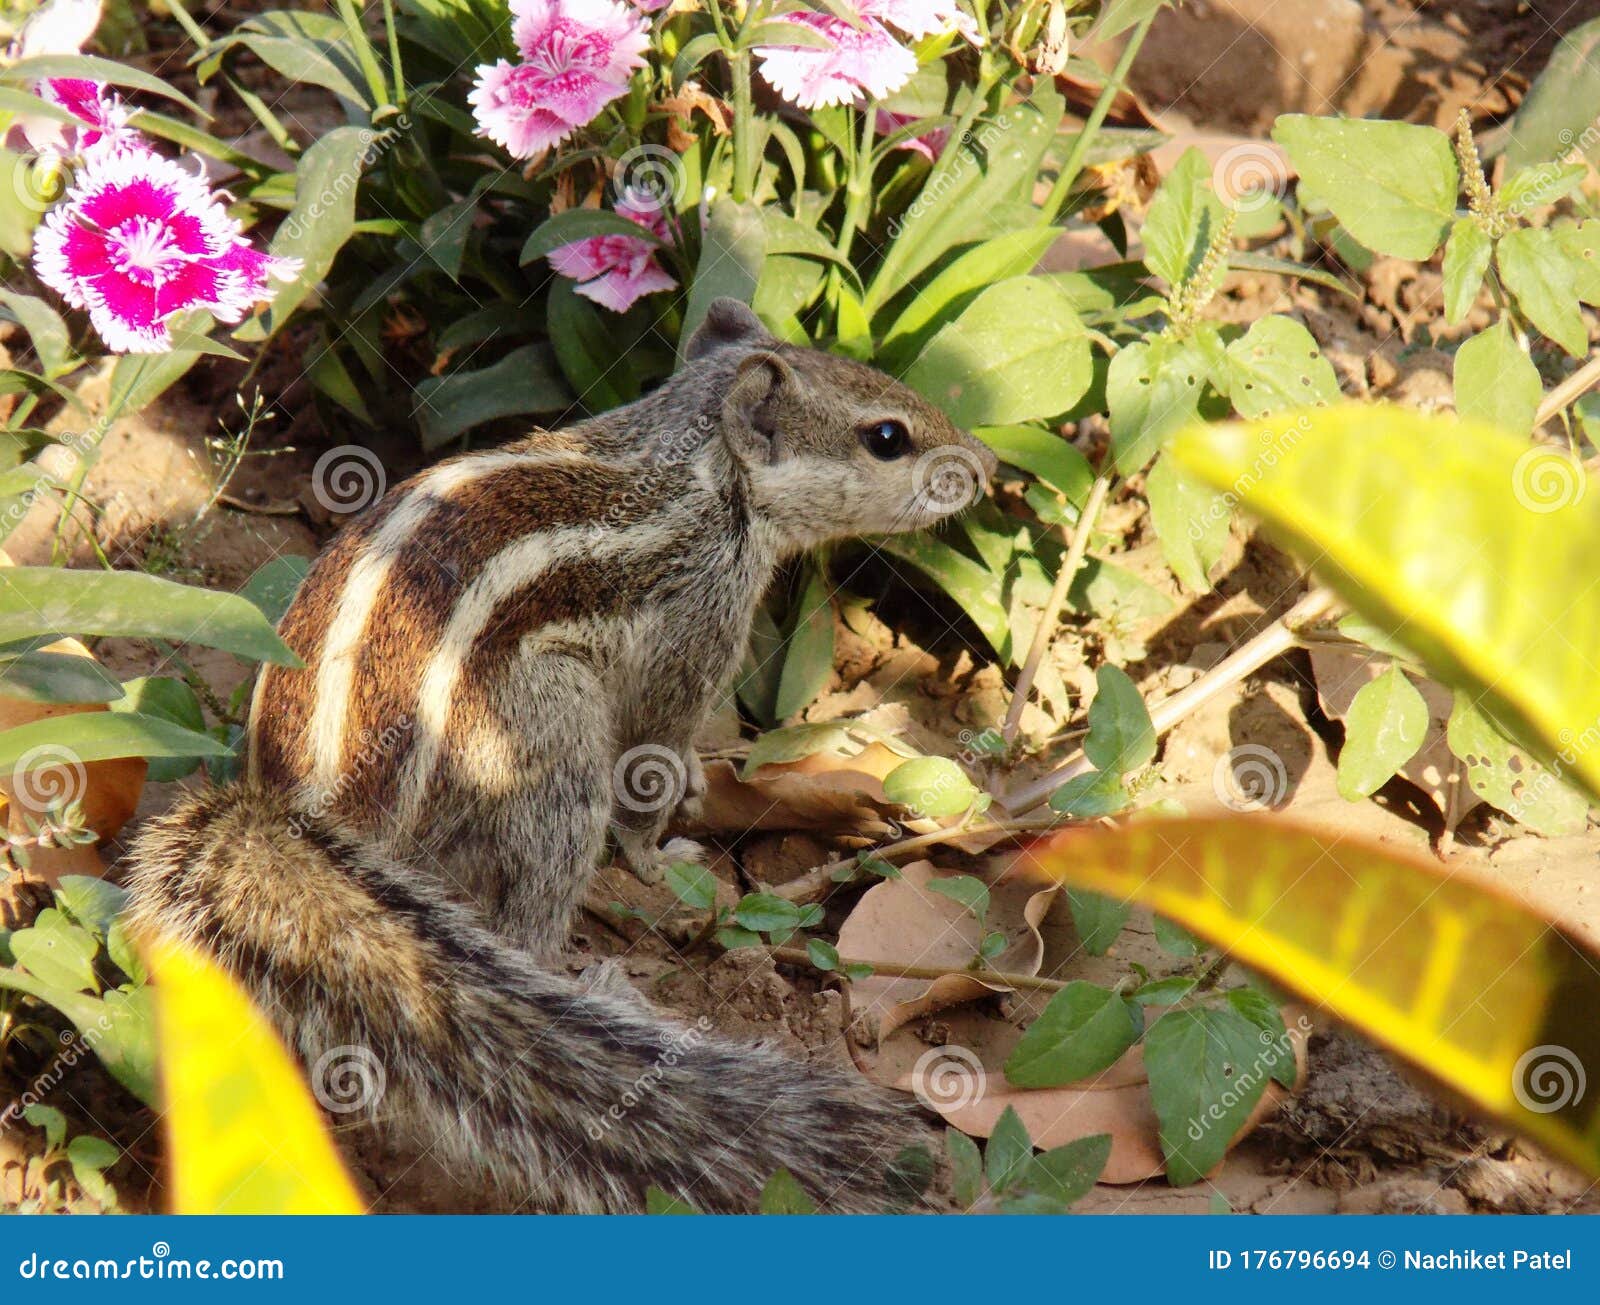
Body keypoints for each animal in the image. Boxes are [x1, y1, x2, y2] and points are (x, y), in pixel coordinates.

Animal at [123, 299, 1000, 1213]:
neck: (695, 461)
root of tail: (295, 818)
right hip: (545, 734)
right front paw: (658, 858)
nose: (987, 465)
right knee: (531, 908)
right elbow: (654, 752)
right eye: (887, 436)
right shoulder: (700, 621)